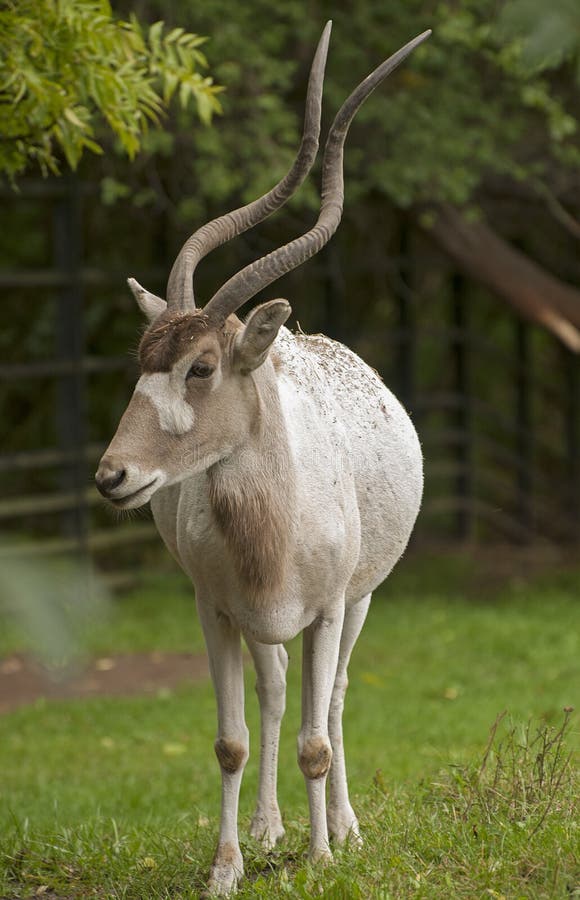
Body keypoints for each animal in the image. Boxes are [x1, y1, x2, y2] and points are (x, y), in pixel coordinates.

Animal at [96, 22, 428, 895]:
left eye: (201, 367)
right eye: (142, 361)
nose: (113, 476)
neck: (274, 514)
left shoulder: (329, 610)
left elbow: (317, 737)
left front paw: (321, 858)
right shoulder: (214, 610)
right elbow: (232, 739)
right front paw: (227, 867)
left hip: (358, 602)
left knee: (332, 701)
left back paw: (340, 826)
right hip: (263, 623)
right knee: (276, 695)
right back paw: (269, 826)